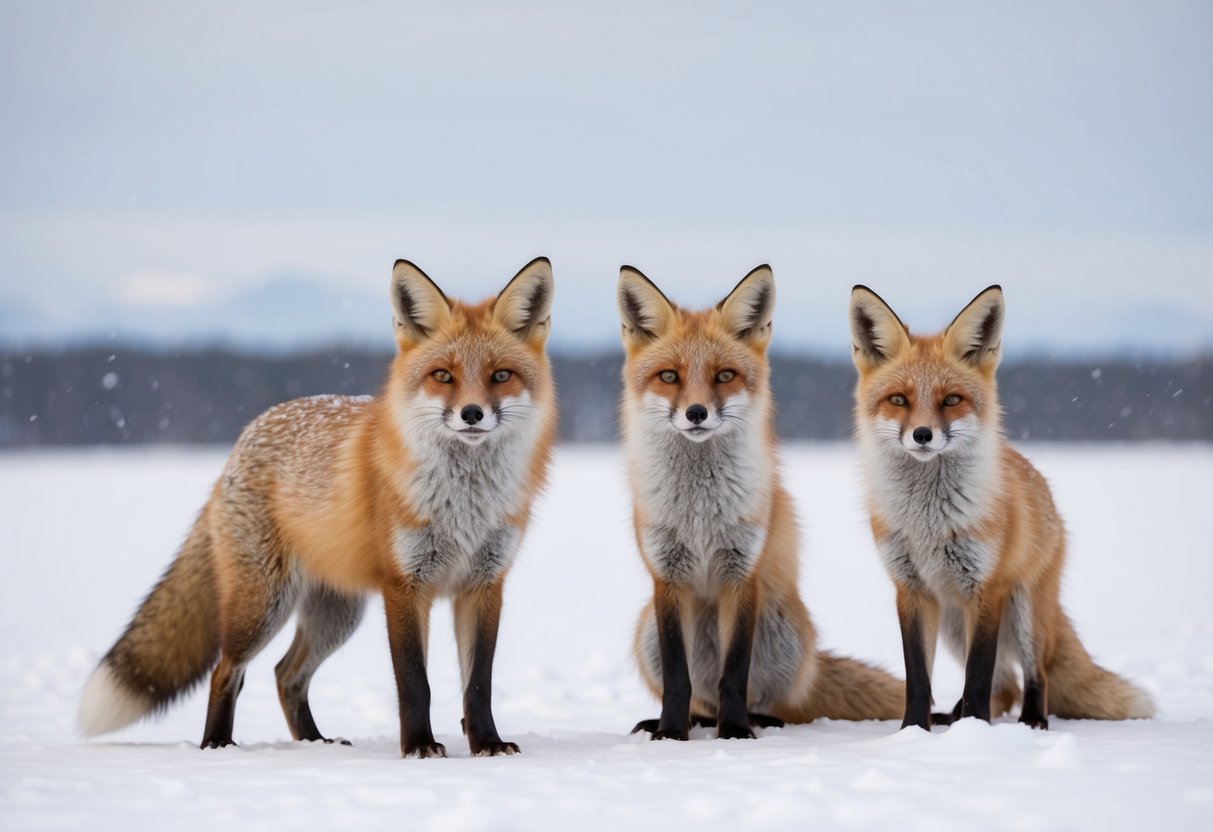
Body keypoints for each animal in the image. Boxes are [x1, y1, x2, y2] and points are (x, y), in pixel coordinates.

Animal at [78, 257, 558, 757]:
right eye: (443, 375)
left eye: (500, 376)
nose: (471, 414)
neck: (464, 506)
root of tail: (245, 437)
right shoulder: (405, 585)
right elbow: (414, 683)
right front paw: (419, 748)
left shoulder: (485, 584)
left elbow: (478, 684)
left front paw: (487, 745)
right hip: (264, 606)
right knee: (227, 671)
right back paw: (218, 746)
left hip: (336, 613)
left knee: (285, 674)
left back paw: (315, 742)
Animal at [618, 264, 904, 741]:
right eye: (670, 376)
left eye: (724, 375)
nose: (696, 413)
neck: (699, 511)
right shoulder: (667, 576)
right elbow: (678, 679)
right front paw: (671, 733)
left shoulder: (742, 572)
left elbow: (734, 673)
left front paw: (734, 732)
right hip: (646, 632)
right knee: (700, 695)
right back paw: (690, 720)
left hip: (783, 629)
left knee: (769, 701)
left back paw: (757, 720)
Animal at [848, 284, 1155, 731]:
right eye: (899, 399)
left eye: (951, 399)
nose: (922, 434)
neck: (928, 522)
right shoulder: (910, 589)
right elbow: (918, 678)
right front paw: (912, 733)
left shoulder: (987, 589)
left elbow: (979, 673)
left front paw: (975, 733)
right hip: (953, 621)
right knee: (1006, 685)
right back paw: (952, 717)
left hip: (1026, 612)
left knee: (1032, 674)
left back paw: (1032, 722)